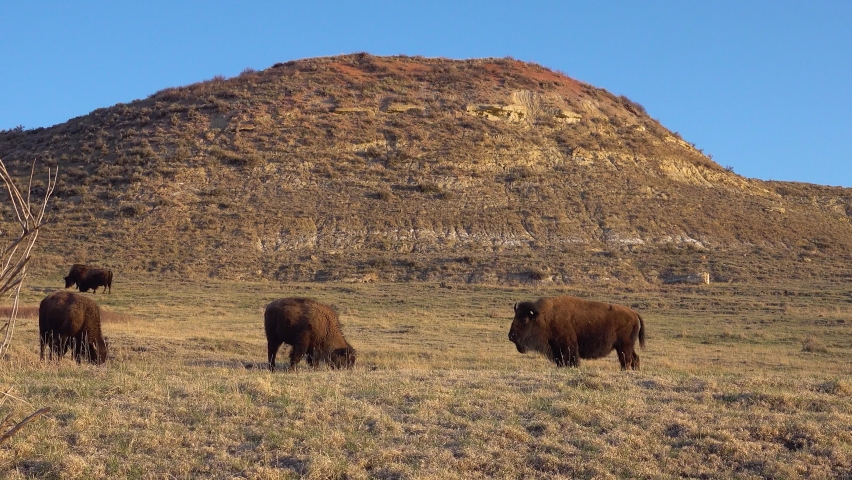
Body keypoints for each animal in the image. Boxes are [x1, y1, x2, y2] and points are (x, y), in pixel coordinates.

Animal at [509, 295, 645, 370]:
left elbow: (572, 360)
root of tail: (634, 313)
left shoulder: (568, 347)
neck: (544, 317)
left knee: (627, 359)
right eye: (515, 316)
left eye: (525, 319)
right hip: (625, 346)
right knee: (635, 358)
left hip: (624, 346)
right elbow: (560, 361)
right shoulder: (556, 349)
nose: (511, 336)